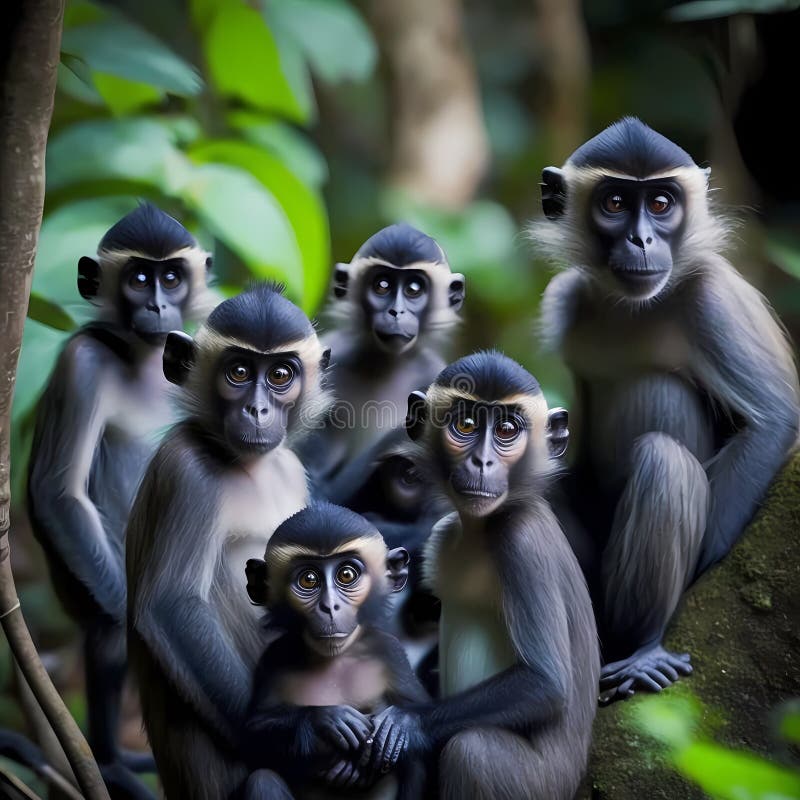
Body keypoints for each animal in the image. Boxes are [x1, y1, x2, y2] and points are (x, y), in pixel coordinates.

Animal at [26, 202, 214, 797]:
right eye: (138, 278)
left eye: (171, 277)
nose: (156, 304)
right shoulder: (81, 362)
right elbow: (56, 491)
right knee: (107, 634)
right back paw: (108, 764)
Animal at [125, 284, 332, 800]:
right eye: (238, 372)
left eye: (280, 374)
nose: (257, 410)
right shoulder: (188, 474)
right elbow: (171, 607)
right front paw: (302, 735)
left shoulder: (291, 469)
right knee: (262, 782)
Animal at [241, 503, 429, 800]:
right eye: (309, 579)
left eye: (346, 575)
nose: (329, 606)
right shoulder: (275, 657)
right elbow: (250, 738)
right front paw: (325, 719)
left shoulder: (390, 651)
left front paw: (400, 723)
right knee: (262, 778)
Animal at [356, 351, 599, 800]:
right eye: (466, 424)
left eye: (506, 430)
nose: (482, 461)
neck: (482, 526)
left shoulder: (521, 541)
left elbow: (546, 683)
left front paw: (407, 723)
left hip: (539, 785)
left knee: (472, 751)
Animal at [530, 117, 800, 701]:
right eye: (614, 203)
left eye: (660, 203)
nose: (642, 239)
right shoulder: (565, 300)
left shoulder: (714, 298)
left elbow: (775, 421)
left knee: (664, 461)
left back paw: (644, 645)